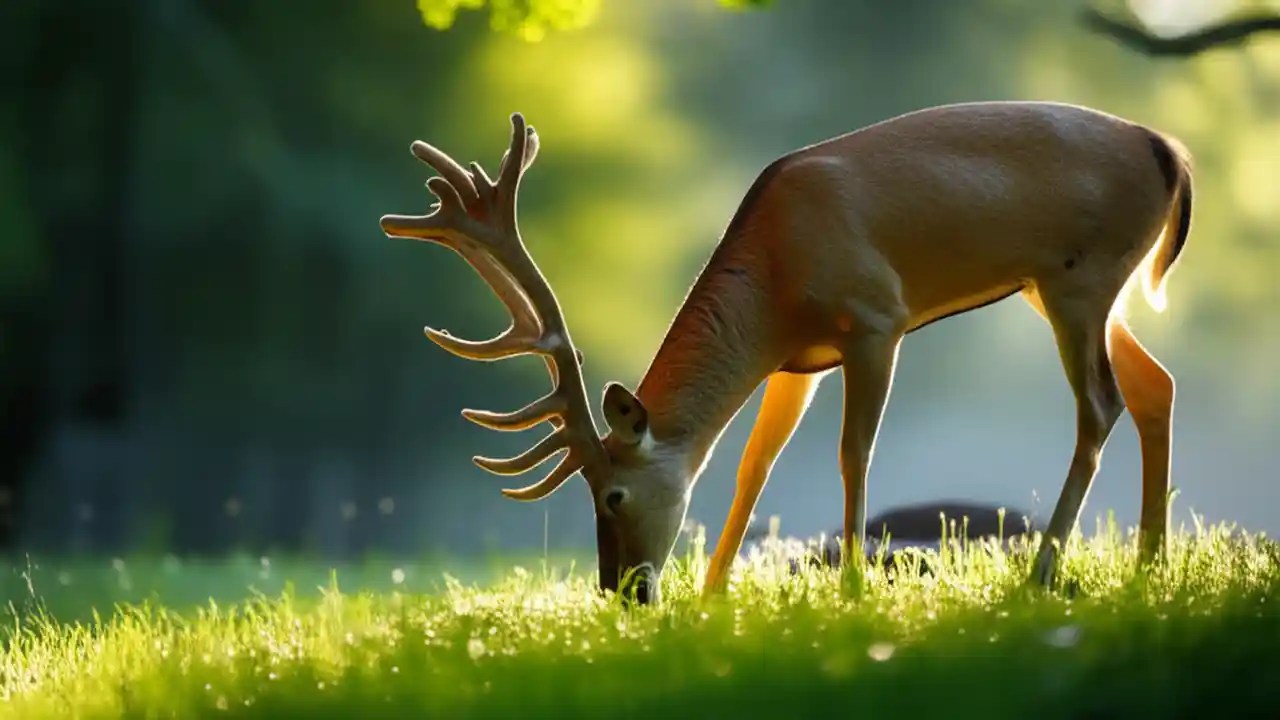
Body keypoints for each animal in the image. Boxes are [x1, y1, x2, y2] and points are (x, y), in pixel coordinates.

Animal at [379, 101, 1192, 604]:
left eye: (611, 495)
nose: (623, 590)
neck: (776, 278)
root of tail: (1171, 154)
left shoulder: (876, 317)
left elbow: (853, 452)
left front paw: (853, 587)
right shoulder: (796, 361)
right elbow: (753, 463)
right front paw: (713, 595)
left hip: (1081, 276)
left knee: (1101, 403)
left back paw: (1044, 574)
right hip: (1065, 285)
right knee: (1154, 383)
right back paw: (1150, 564)